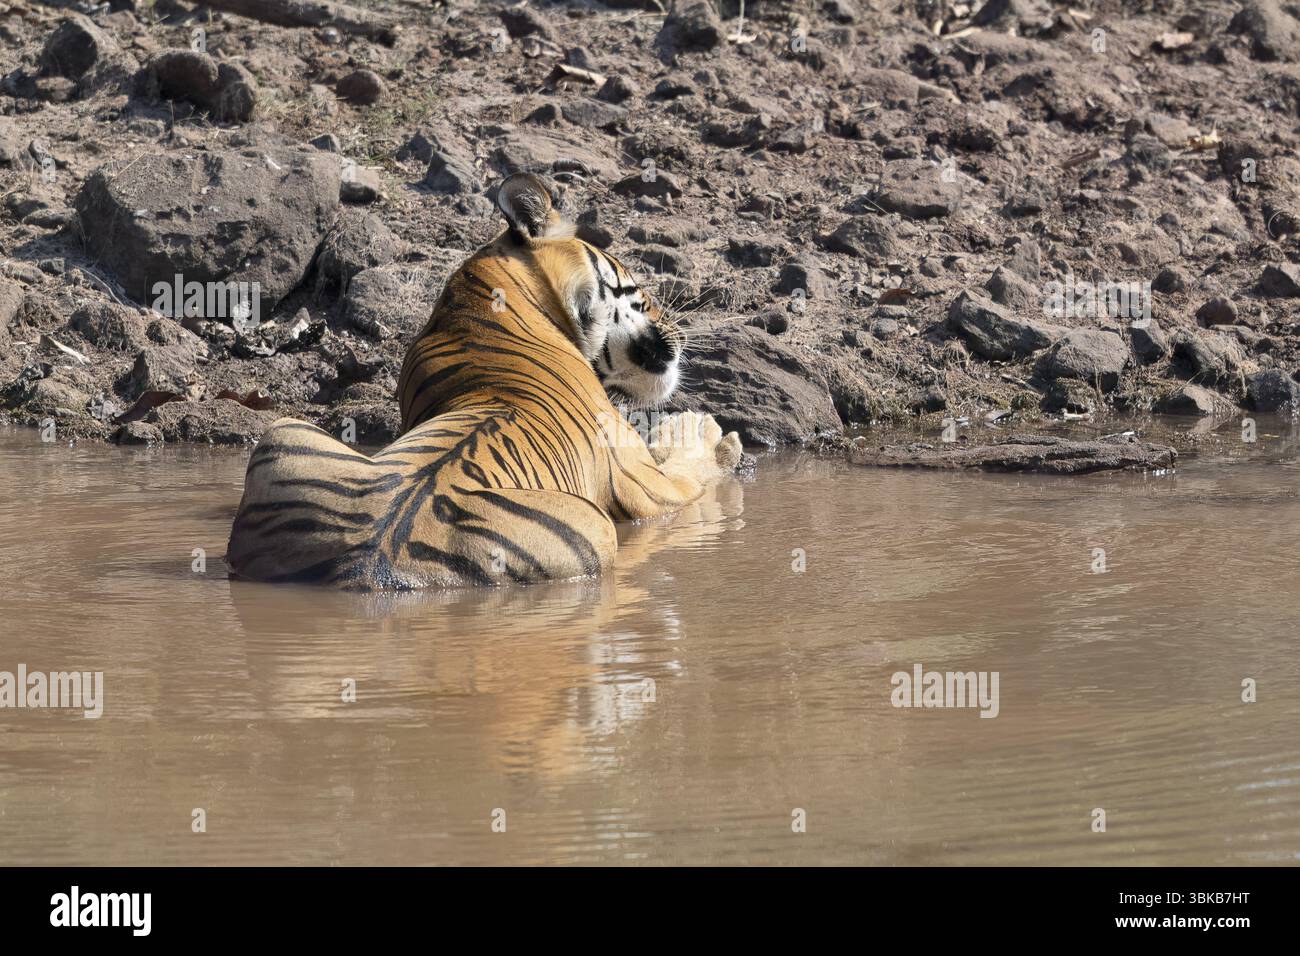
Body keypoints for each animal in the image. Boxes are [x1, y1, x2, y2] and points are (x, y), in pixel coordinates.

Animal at [225, 173, 743, 589]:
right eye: (637, 283)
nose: (676, 326)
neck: (478, 299)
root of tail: (375, 560)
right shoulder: (645, 485)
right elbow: (692, 468)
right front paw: (708, 432)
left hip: (284, 431)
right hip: (596, 527)